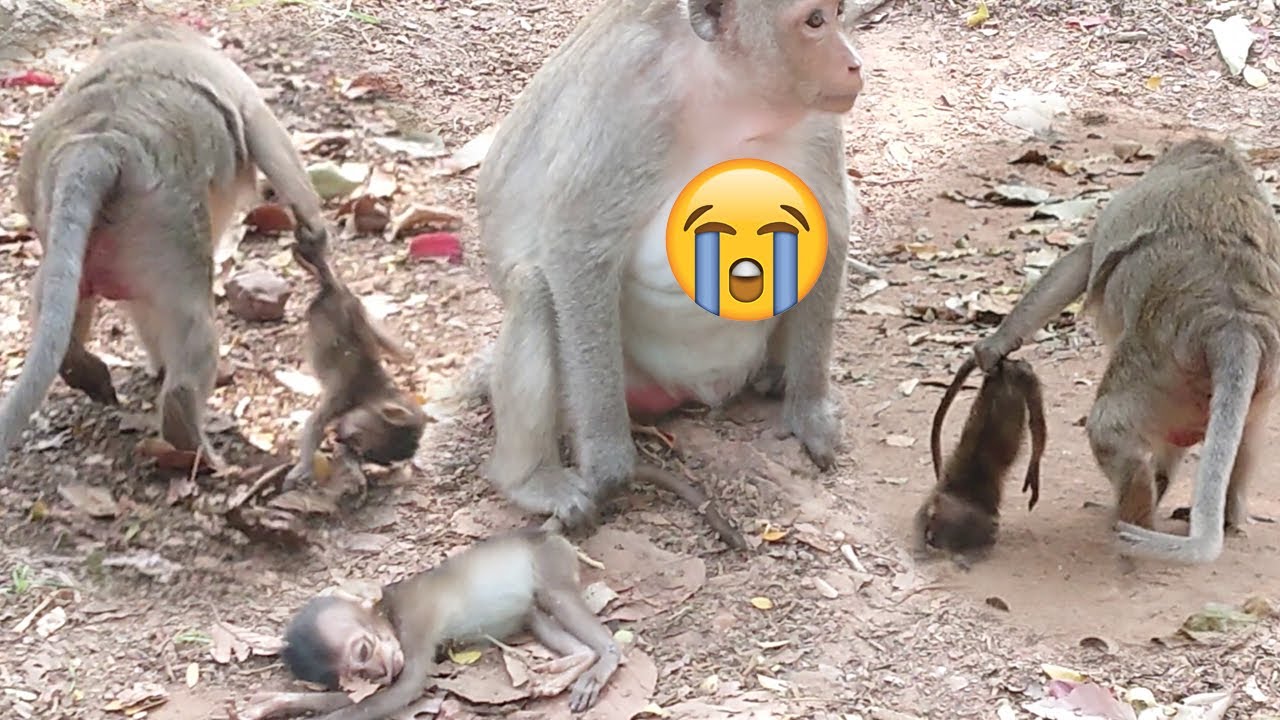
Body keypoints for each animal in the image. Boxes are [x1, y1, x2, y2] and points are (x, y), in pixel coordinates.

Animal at [0, 20, 332, 471]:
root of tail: (101, 143)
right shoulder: (239, 87)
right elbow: (267, 135)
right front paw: (314, 236)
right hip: (168, 221)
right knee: (190, 319)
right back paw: (190, 435)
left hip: (74, 217)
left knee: (59, 290)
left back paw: (84, 367)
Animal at [260, 528, 621, 720]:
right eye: (357, 676)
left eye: (363, 651)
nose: (380, 669)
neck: (390, 610)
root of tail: (545, 533)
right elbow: (375, 693)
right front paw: (282, 702)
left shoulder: (413, 624)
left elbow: (404, 689)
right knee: (535, 614)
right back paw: (575, 664)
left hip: (550, 558)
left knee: (557, 596)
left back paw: (605, 659)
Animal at [284, 240, 428, 487]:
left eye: (371, 452)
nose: (341, 439)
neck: (373, 391)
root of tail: (337, 291)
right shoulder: (340, 398)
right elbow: (314, 425)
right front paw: (302, 468)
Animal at [472, 0, 865, 528]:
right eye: (814, 22)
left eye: (838, 12)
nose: (854, 63)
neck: (728, 96)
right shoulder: (628, 111)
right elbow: (578, 249)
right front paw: (608, 461)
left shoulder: (816, 121)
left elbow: (828, 228)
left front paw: (810, 411)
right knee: (534, 288)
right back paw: (531, 480)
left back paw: (776, 375)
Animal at [968, 135, 1280, 564]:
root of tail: (1233, 322)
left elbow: (1081, 263)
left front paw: (995, 344)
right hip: (1255, 381)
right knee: (1246, 434)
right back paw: (1225, 512)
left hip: (1158, 372)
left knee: (1107, 426)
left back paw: (1131, 511)